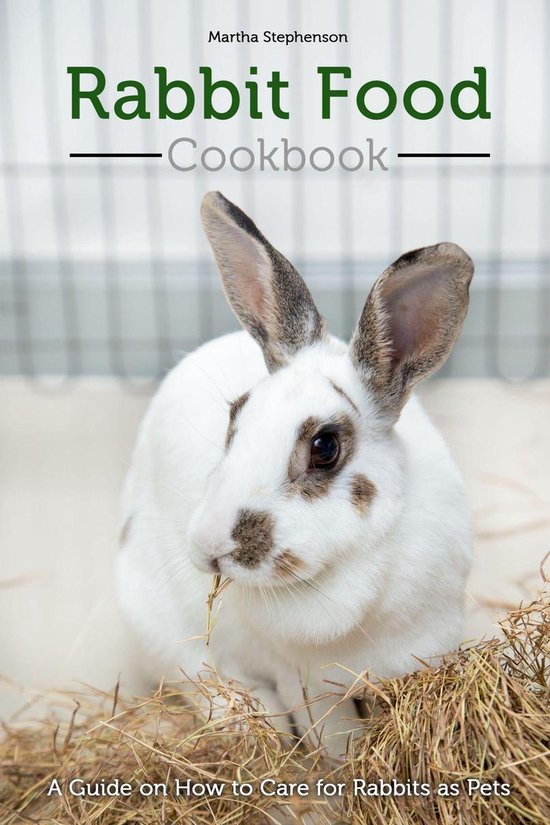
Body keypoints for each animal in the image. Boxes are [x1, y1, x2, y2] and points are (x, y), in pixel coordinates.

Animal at [117, 191, 474, 756]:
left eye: (324, 447)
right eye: (235, 415)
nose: (208, 546)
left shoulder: (427, 648)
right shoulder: (303, 683)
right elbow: (336, 742)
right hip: (155, 620)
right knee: (199, 676)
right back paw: (249, 722)